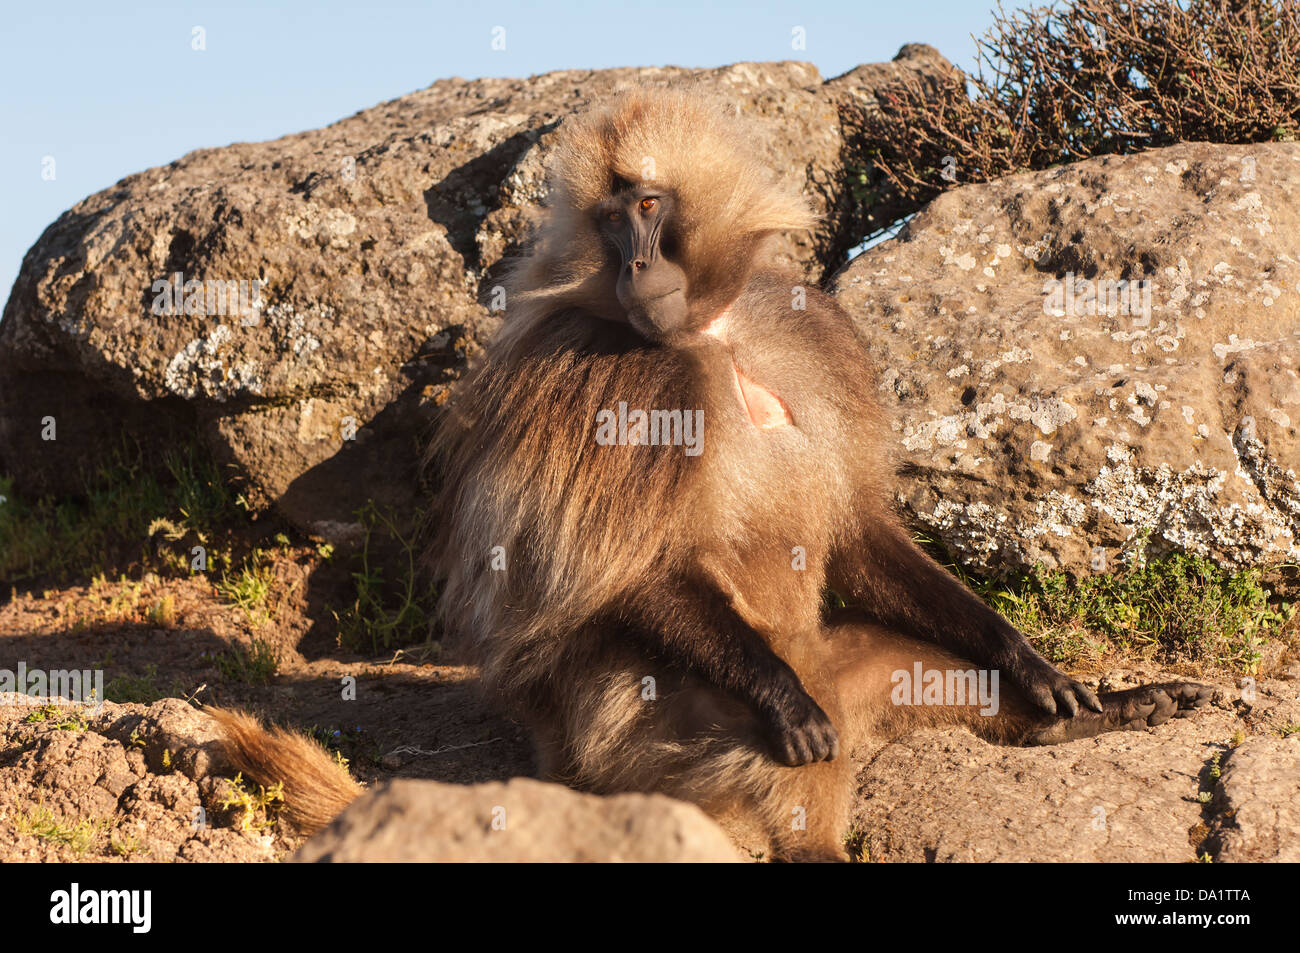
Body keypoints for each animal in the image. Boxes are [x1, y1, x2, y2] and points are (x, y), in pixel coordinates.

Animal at [213, 88, 1214, 861]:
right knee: (795, 761)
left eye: (650, 206)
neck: (710, 335)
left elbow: (858, 534)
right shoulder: (602, 385)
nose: (634, 262)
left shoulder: (811, 332)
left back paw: (1091, 715)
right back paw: (811, 806)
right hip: (641, 737)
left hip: (840, 673)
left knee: (909, 668)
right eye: (610, 220)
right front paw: (777, 696)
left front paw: (1038, 668)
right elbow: (616, 571)